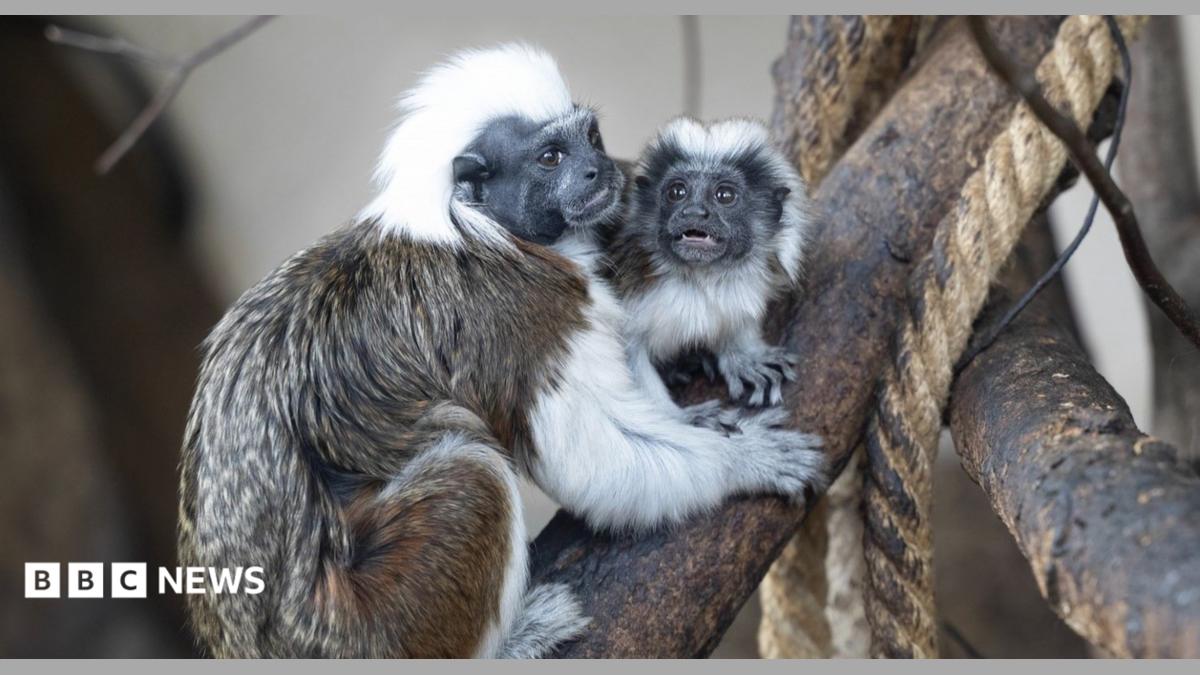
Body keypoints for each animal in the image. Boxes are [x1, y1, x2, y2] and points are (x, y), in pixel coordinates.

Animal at [605, 117, 812, 410]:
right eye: (677, 192)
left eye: (724, 195)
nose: (693, 212)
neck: (699, 278)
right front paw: (680, 419)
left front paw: (741, 355)